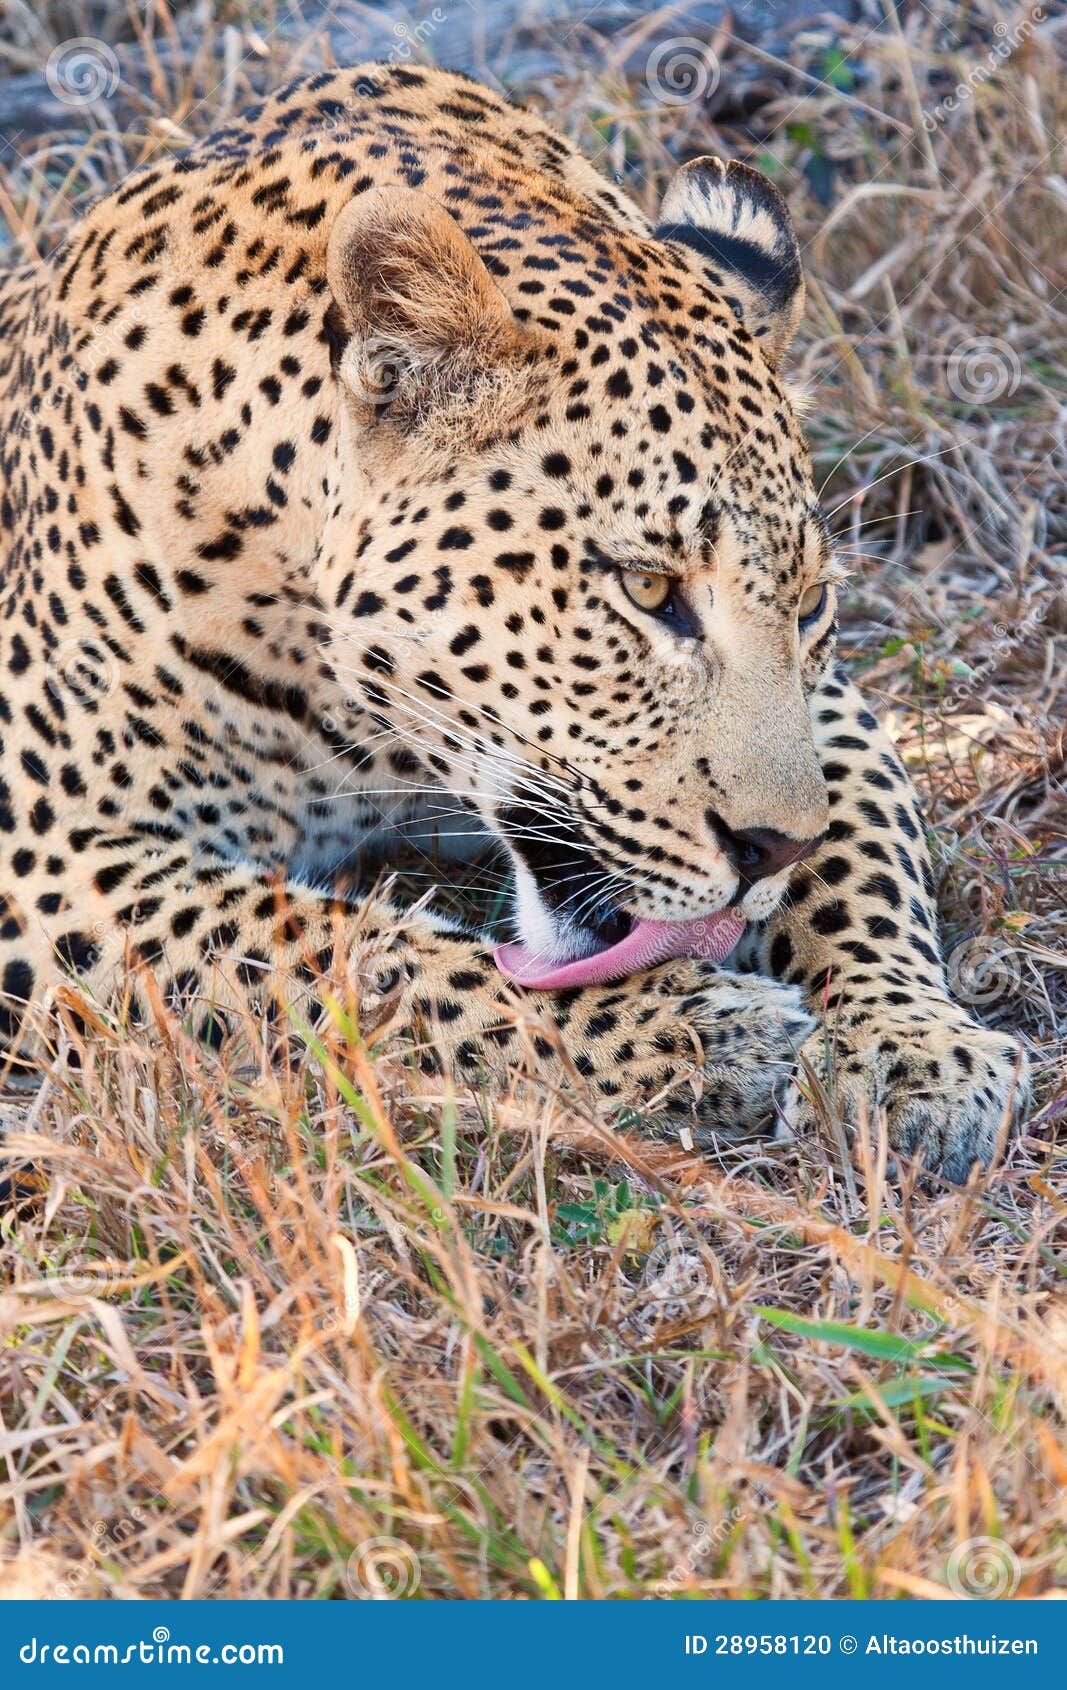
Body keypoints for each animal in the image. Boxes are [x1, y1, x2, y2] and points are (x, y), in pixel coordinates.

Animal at [0, 62, 1029, 1182]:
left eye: (808, 604)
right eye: (647, 589)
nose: (768, 851)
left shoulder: (828, 705)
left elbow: (862, 856)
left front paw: (910, 1048)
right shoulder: (49, 847)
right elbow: (344, 950)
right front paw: (693, 1030)